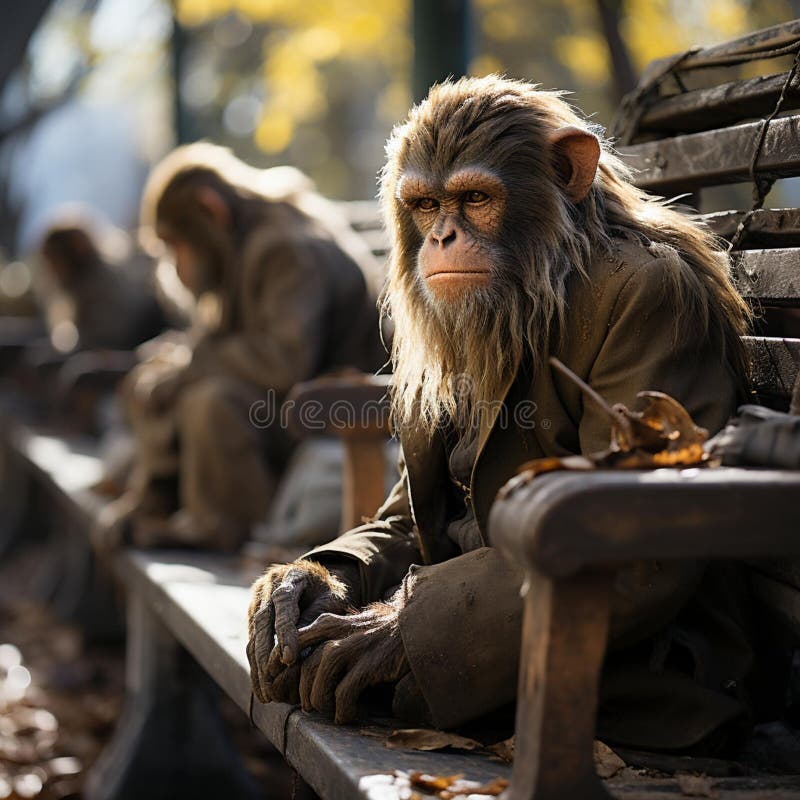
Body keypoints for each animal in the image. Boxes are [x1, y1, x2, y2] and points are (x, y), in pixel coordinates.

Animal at [97, 144, 385, 552]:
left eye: (179, 243)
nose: (175, 264)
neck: (244, 230)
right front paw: (159, 367)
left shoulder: (284, 256)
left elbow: (280, 358)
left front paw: (166, 375)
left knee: (212, 401)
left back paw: (210, 530)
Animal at [248, 76, 755, 752]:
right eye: (427, 205)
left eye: (475, 198)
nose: (441, 238)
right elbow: (399, 521)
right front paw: (297, 588)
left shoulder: (657, 306)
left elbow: (644, 533)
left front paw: (377, 636)